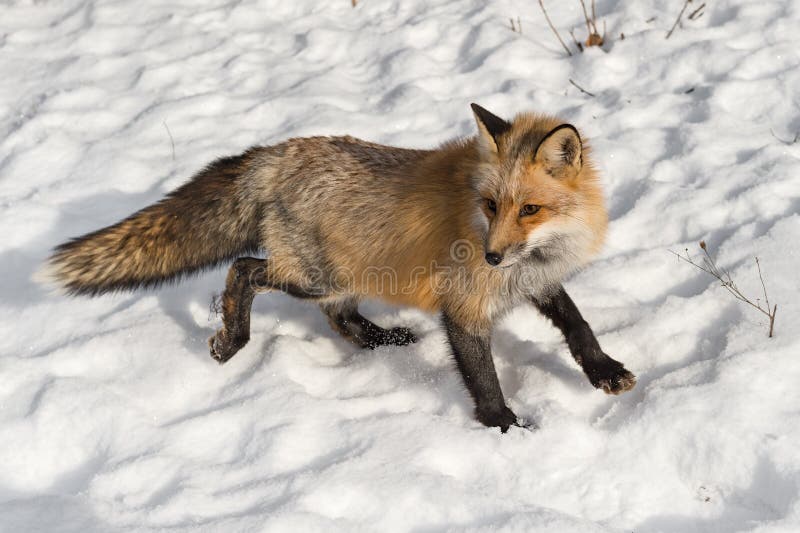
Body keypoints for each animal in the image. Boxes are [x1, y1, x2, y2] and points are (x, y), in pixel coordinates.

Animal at [41, 104, 636, 431]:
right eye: (491, 205)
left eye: (529, 209)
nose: (490, 255)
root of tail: (274, 153)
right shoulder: (464, 308)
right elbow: (484, 379)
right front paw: (504, 427)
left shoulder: (536, 280)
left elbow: (579, 326)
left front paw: (603, 370)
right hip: (313, 276)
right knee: (244, 270)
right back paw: (231, 340)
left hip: (349, 276)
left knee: (338, 316)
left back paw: (382, 340)